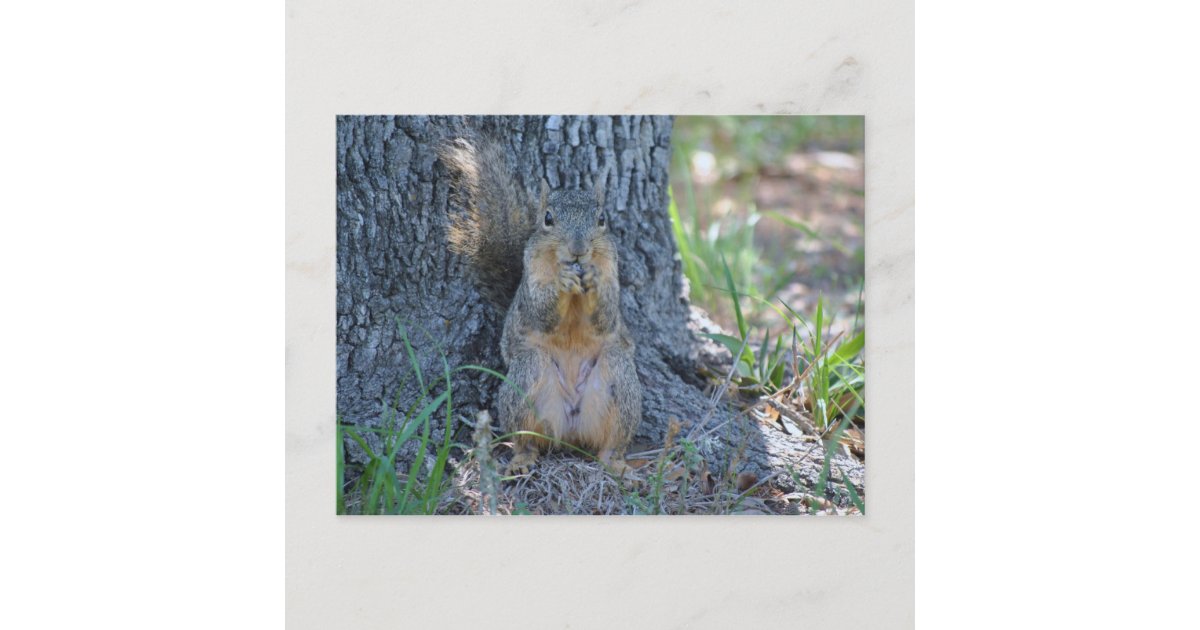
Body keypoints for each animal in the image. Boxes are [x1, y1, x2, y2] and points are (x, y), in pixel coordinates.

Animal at [440, 137, 642, 476]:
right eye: (548, 219)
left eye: (601, 219)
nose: (578, 250)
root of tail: (572, 425)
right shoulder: (531, 279)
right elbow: (540, 313)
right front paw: (561, 282)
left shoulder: (612, 270)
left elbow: (606, 317)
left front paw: (592, 281)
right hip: (528, 376)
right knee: (525, 438)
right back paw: (522, 459)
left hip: (619, 382)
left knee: (611, 442)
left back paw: (616, 464)